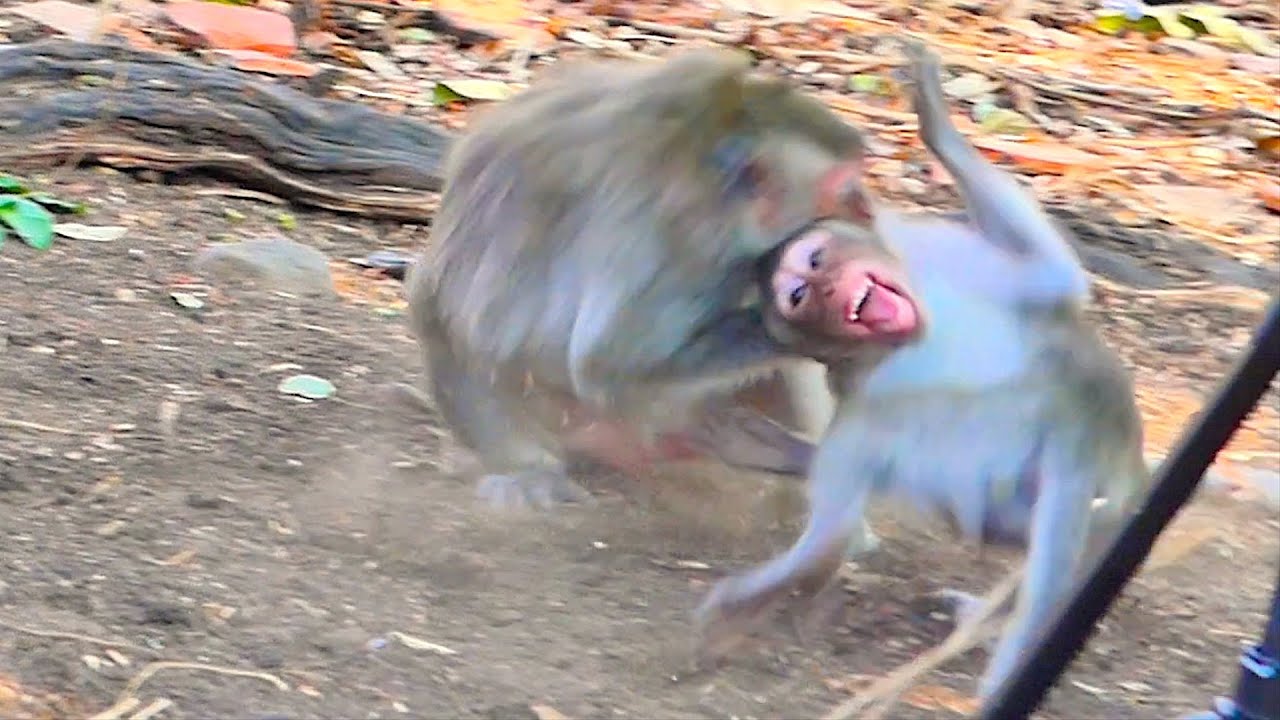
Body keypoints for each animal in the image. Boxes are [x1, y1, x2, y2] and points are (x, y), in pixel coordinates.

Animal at [693, 38, 1151, 700]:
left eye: (815, 262)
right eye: (800, 296)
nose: (828, 288)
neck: (917, 333)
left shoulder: (948, 261)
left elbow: (1055, 276)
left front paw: (935, 120)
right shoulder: (862, 415)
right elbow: (829, 536)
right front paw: (743, 601)